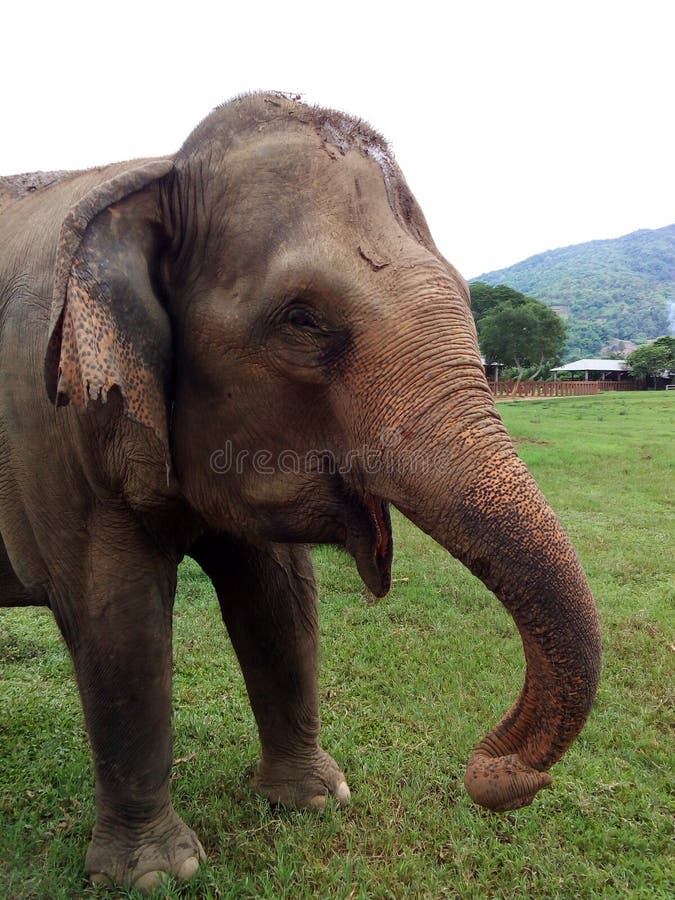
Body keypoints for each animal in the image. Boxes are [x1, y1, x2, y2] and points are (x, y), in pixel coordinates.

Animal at [0, 92, 601, 890]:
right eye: (303, 320)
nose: (501, 775)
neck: (161, 172)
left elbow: (281, 599)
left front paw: (315, 800)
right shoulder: (49, 425)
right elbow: (118, 622)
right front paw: (157, 877)